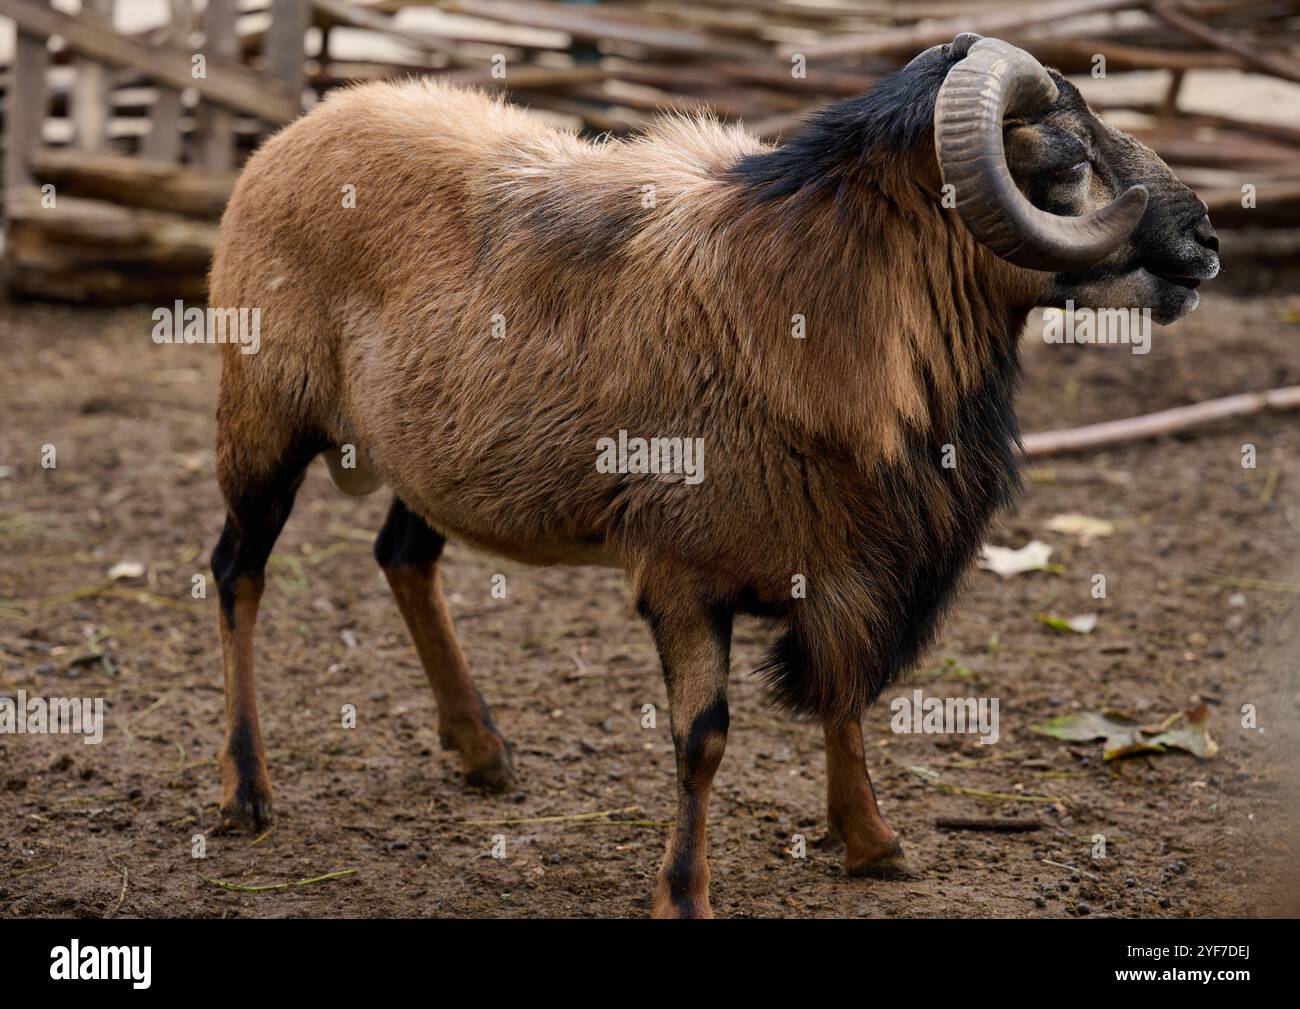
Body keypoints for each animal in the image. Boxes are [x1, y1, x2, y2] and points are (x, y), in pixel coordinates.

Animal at [208, 33, 1220, 918]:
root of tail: (302, 128)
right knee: (237, 571)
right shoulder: (683, 576)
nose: (1206, 237)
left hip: (435, 461)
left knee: (402, 555)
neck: (813, 302)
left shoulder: (851, 561)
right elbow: (703, 739)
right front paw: (684, 894)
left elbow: (847, 698)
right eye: (1067, 156)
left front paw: (873, 843)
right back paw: (246, 792)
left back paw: (483, 751)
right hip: (262, 422)